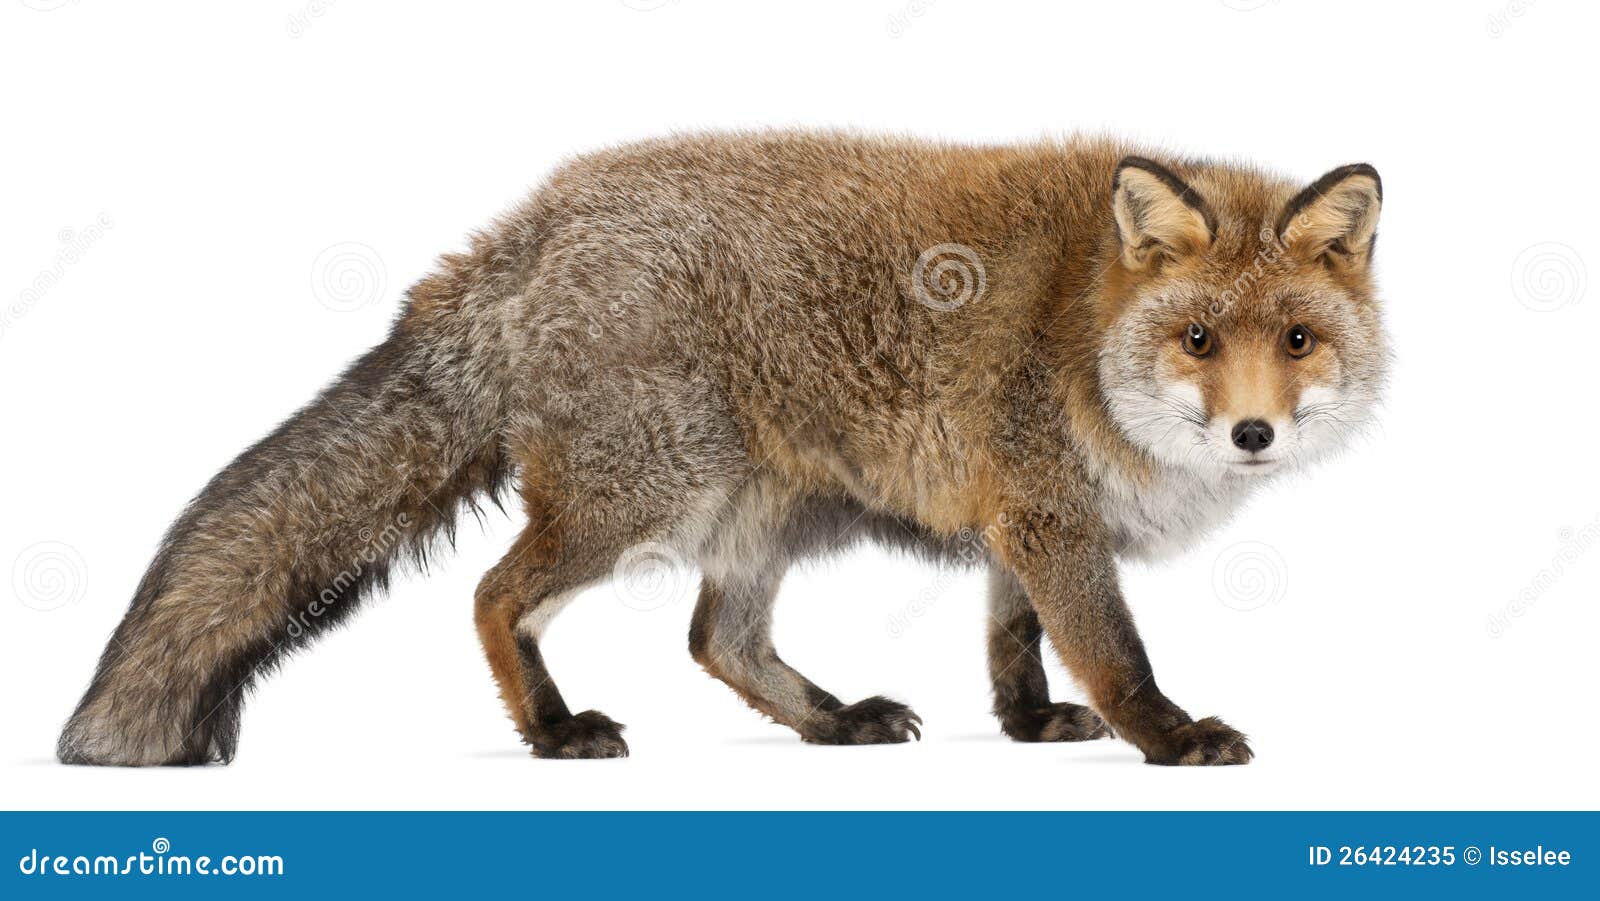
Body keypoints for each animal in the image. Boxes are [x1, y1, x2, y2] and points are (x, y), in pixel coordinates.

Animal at [57, 131, 1386, 766]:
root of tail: (527, 226)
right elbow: (1113, 652)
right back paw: (552, 732)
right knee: (494, 595)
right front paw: (1168, 736)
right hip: (646, 489)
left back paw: (832, 722)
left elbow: (1014, 645)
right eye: (1199, 338)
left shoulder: (1021, 513)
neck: (1080, 321)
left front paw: (1025, 726)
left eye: (1297, 340)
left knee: (718, 640)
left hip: (763, 516)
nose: (1253, 430)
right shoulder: (1050, 516)